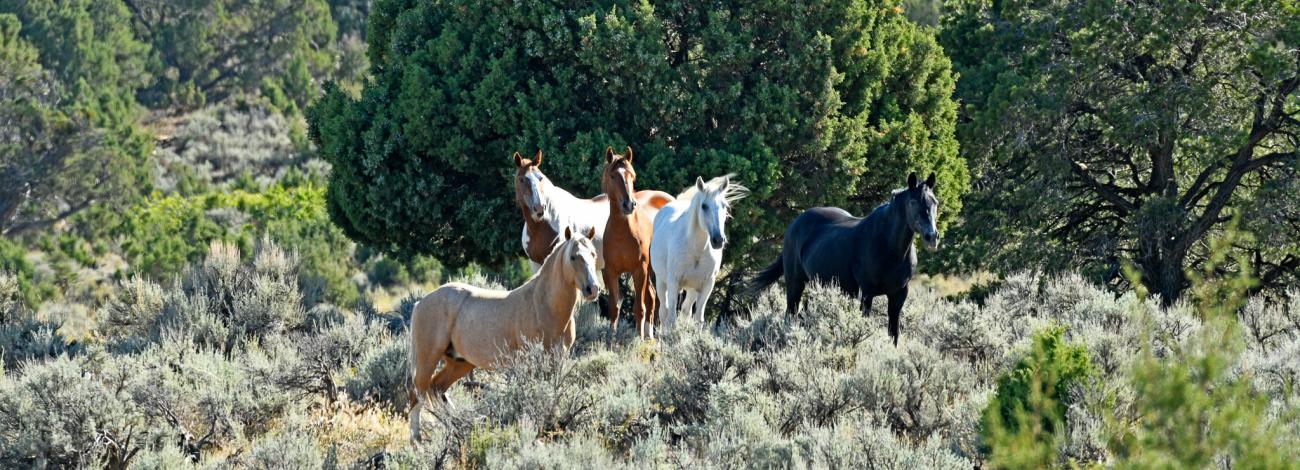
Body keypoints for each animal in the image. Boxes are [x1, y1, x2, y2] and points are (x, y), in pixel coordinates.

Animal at [407, 226, 601, 442]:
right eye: (573, 257)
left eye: (593, 254)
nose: (592, 289)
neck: (543, 305)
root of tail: (420, 303)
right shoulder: (531, 363)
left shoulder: (557, 360)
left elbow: (552, 392)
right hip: (428, 359)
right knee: (417, 392)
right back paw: (418, 440)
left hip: (459, 363)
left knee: (436, 389)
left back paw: (457, 426)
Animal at [600, 146, 668, 339]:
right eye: (613, 176)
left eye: (632, 176)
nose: (629, 205)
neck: (622, 233)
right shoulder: (611, 272)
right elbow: (614, 307)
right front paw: (612, 336)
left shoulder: (640, 269)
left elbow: (639, 307)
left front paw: (638, 337)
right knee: (652, 296)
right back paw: (650, 333)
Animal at [650, 174, 748, 330]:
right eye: (704, 206)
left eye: (725, 206)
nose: (718, 240)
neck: (696, 250)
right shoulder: (673, 282)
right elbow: (671, 318)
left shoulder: (707, 285)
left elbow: (698, 318)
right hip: (661, 282)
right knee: (664, 312)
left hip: (692, 289)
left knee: (685, 310)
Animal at [749, 172, 941, 345]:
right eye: (913, 202)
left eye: (935, 202)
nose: (932, 237)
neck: (889, 248)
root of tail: (795, 223)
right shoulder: (867, 293)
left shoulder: (899, 294)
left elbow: (894, 333)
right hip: (795, 282)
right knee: (790, 313)